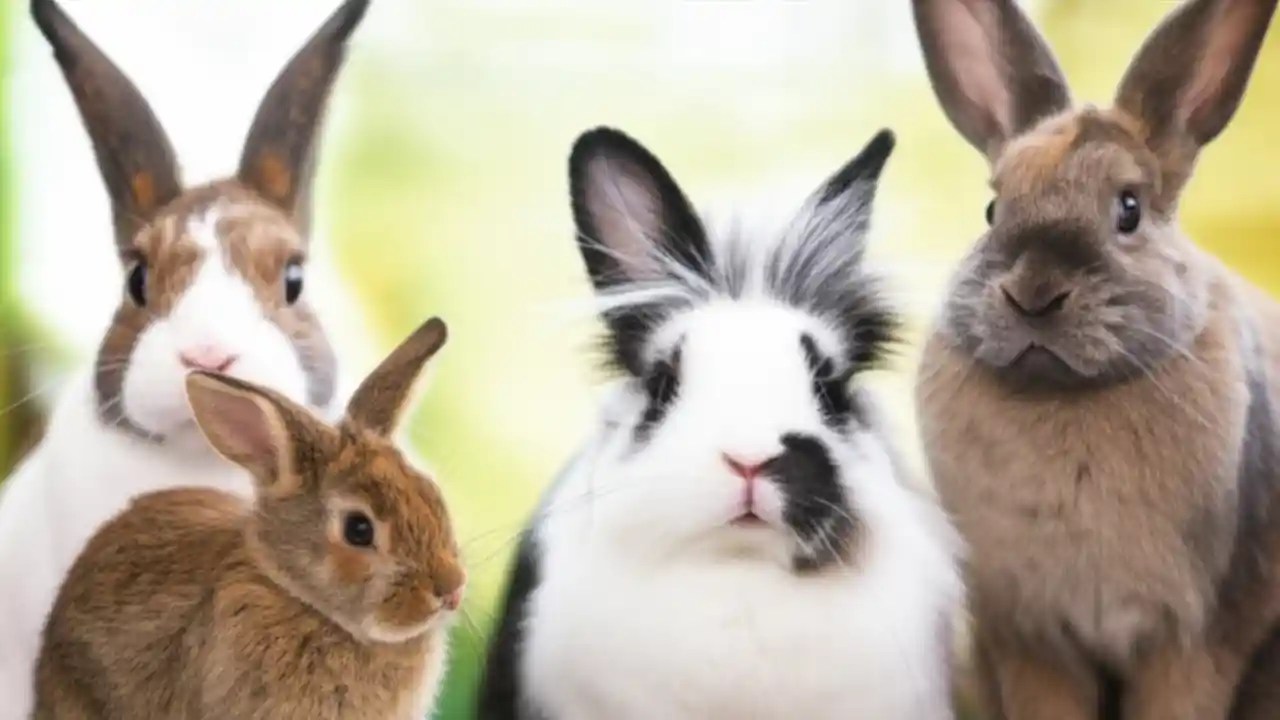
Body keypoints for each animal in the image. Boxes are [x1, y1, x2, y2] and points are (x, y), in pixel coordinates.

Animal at [911, 0, 1280, 718]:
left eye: (1129, 209)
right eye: (993, 208)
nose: (1033, 295)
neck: (1065, 396)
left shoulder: (1194, 640)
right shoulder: (1030, 639)